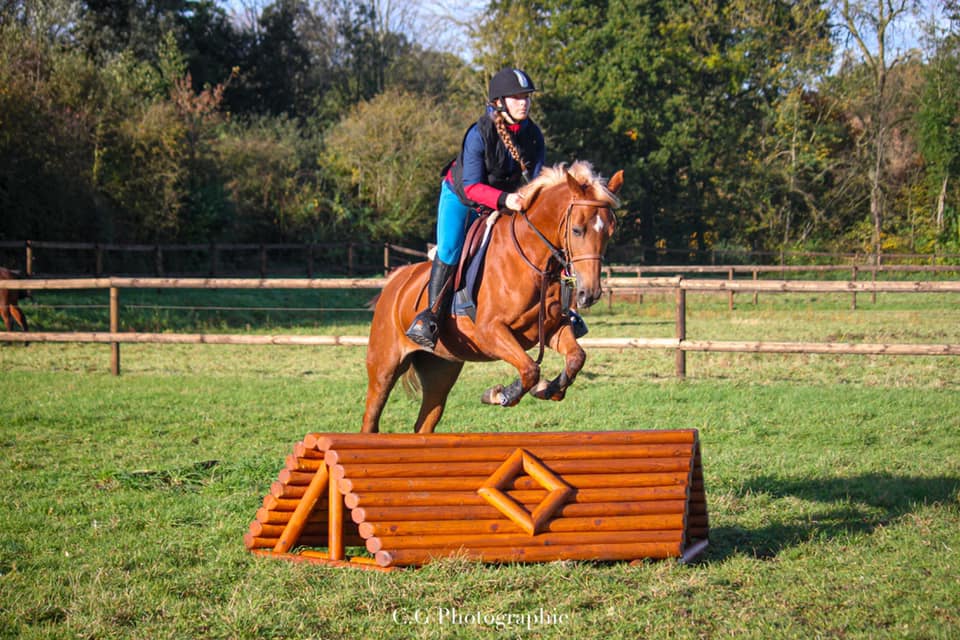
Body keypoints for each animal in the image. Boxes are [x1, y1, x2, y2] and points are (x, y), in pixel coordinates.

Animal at [362, 161, 623, 434]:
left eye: (610, 231)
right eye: (577, 230)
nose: (589, 294)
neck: (532, 260)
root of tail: (395, 281)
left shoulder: (551, 329)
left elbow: (575, 358)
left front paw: (549, 389)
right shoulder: (489, 331)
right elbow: (530, 369)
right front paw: (501, 394)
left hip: (441, 369)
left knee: (424, 422)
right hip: (384, 367)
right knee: (371, 418)